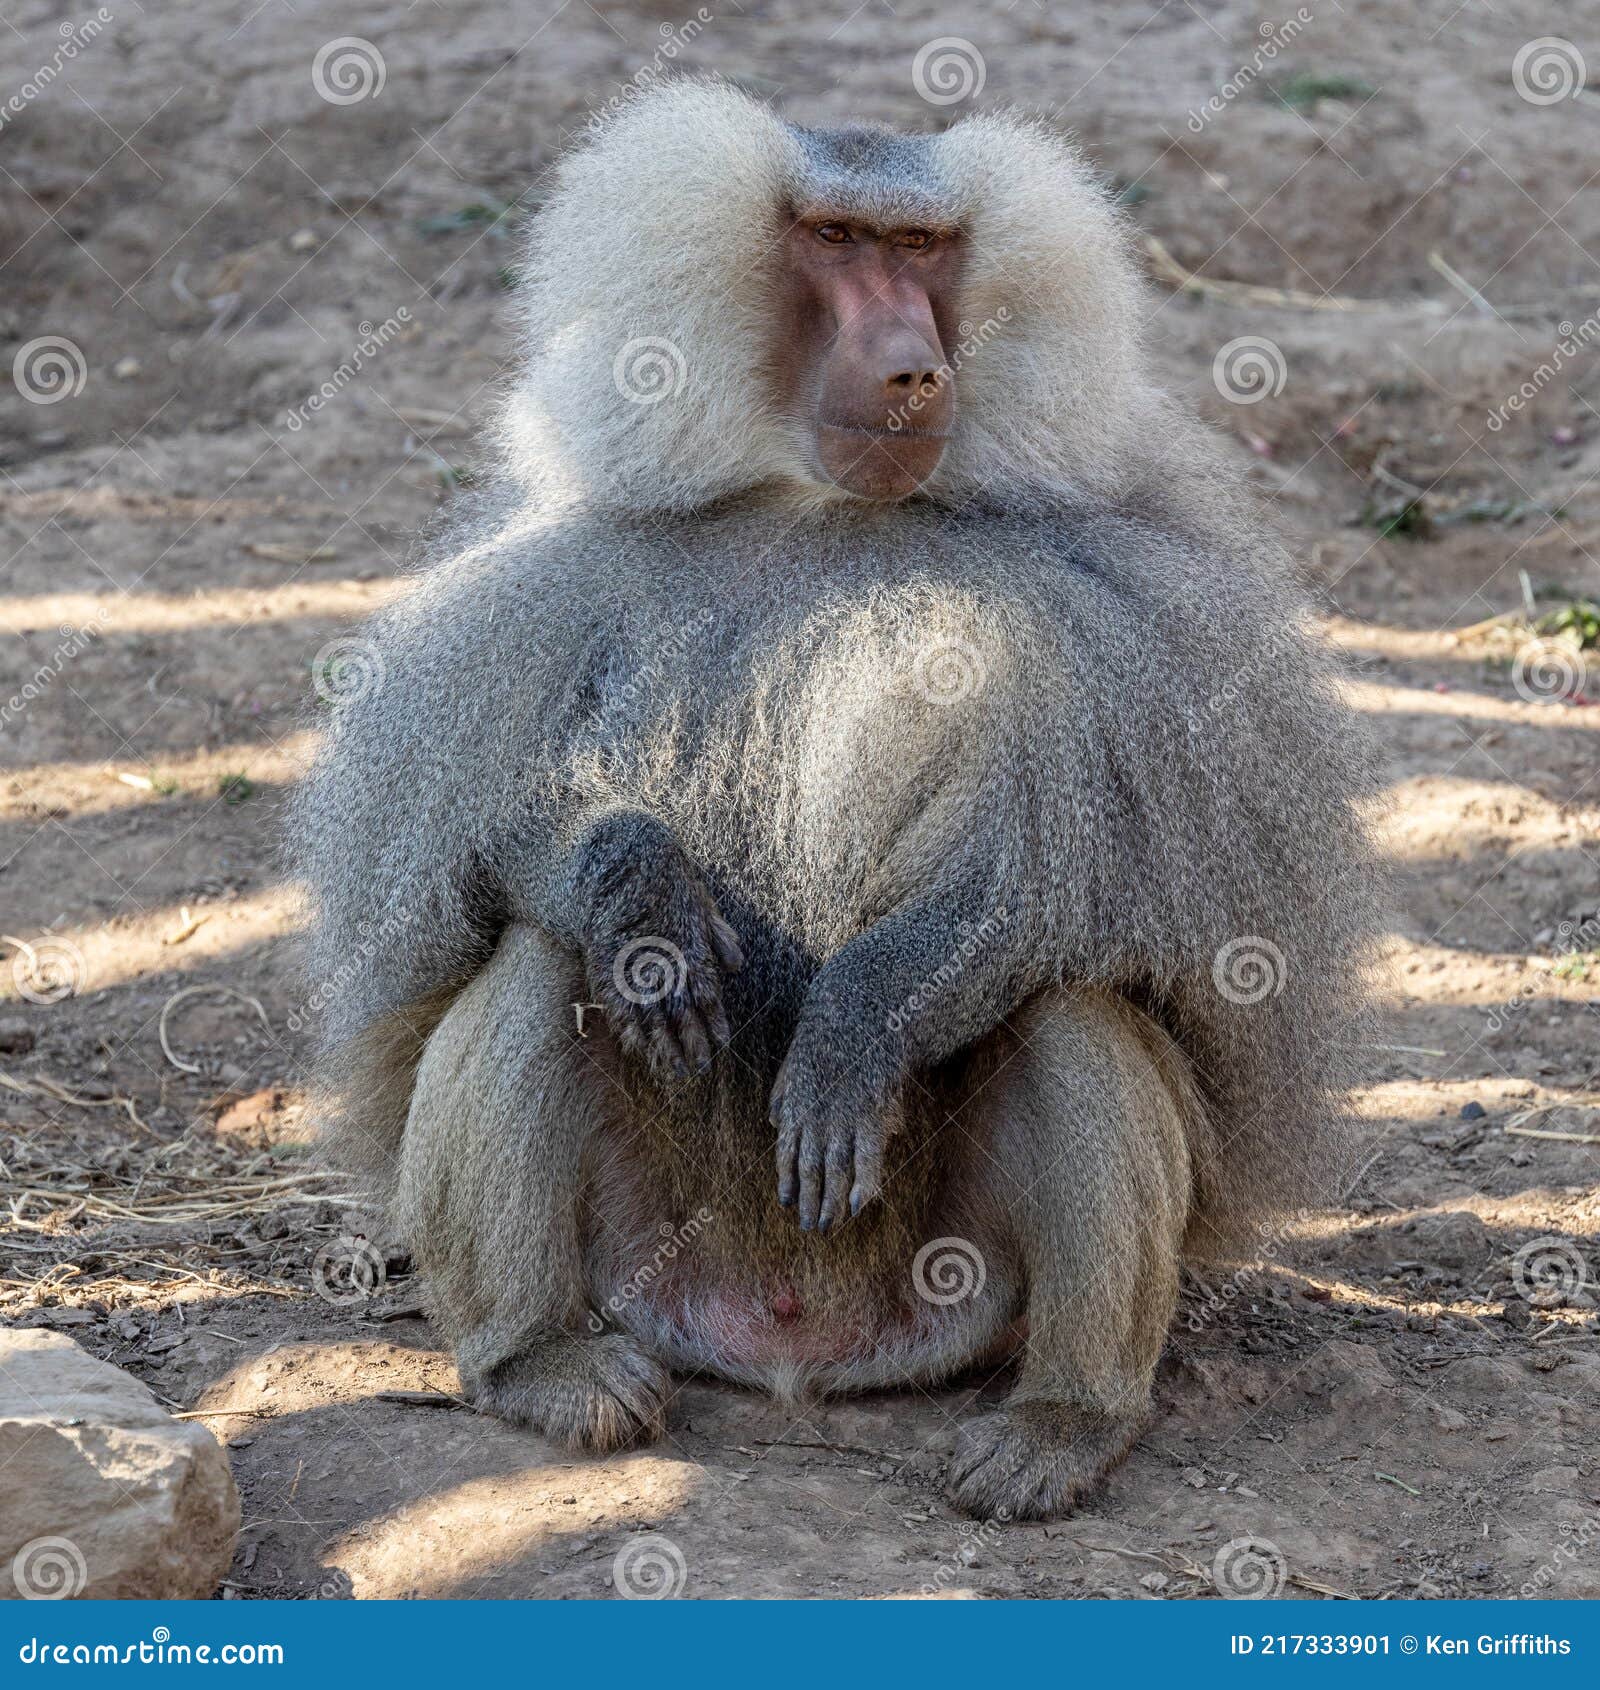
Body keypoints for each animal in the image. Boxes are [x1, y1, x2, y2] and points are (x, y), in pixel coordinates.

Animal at [291, 77, 1378, 1522]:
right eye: (836, 238)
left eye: (921, 248)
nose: (915, 366)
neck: (827, 511)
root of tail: (792, 1340)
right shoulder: (548, 584)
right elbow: (481, 843)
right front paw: (640, 897)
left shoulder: (1127, 609)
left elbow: (1074, 885)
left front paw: (856, 1024)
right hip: (647, 1261)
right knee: (533, 961)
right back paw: (546, 1365)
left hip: (960, 1282)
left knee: (1073, 1008)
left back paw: (1062, 1425)